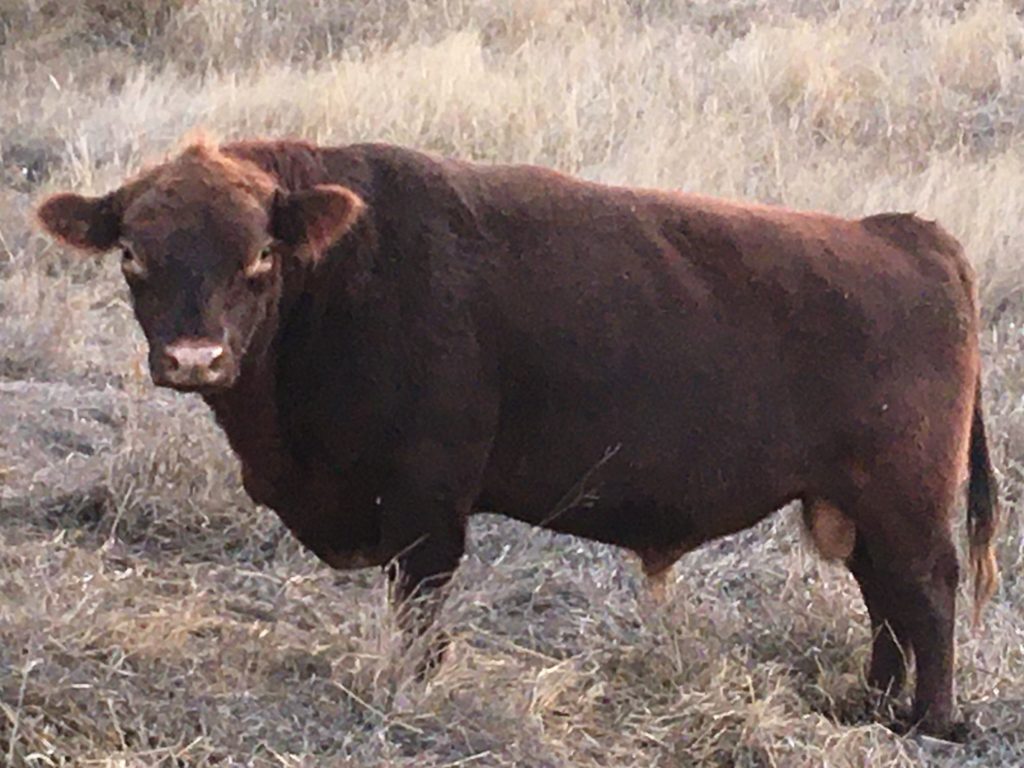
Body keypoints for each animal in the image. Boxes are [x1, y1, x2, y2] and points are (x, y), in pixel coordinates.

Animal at [35, 136, 1000, 737]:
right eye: (133, 255)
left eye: (260, 256)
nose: (193, 357)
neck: (342, 275)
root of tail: (905, 235)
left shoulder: (425, 500)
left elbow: (419, 601)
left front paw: (412, 686)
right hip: (855, 507)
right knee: (887, 602)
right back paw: (871, 707)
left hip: (905, 503)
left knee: (927, 594)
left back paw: (930, 722)